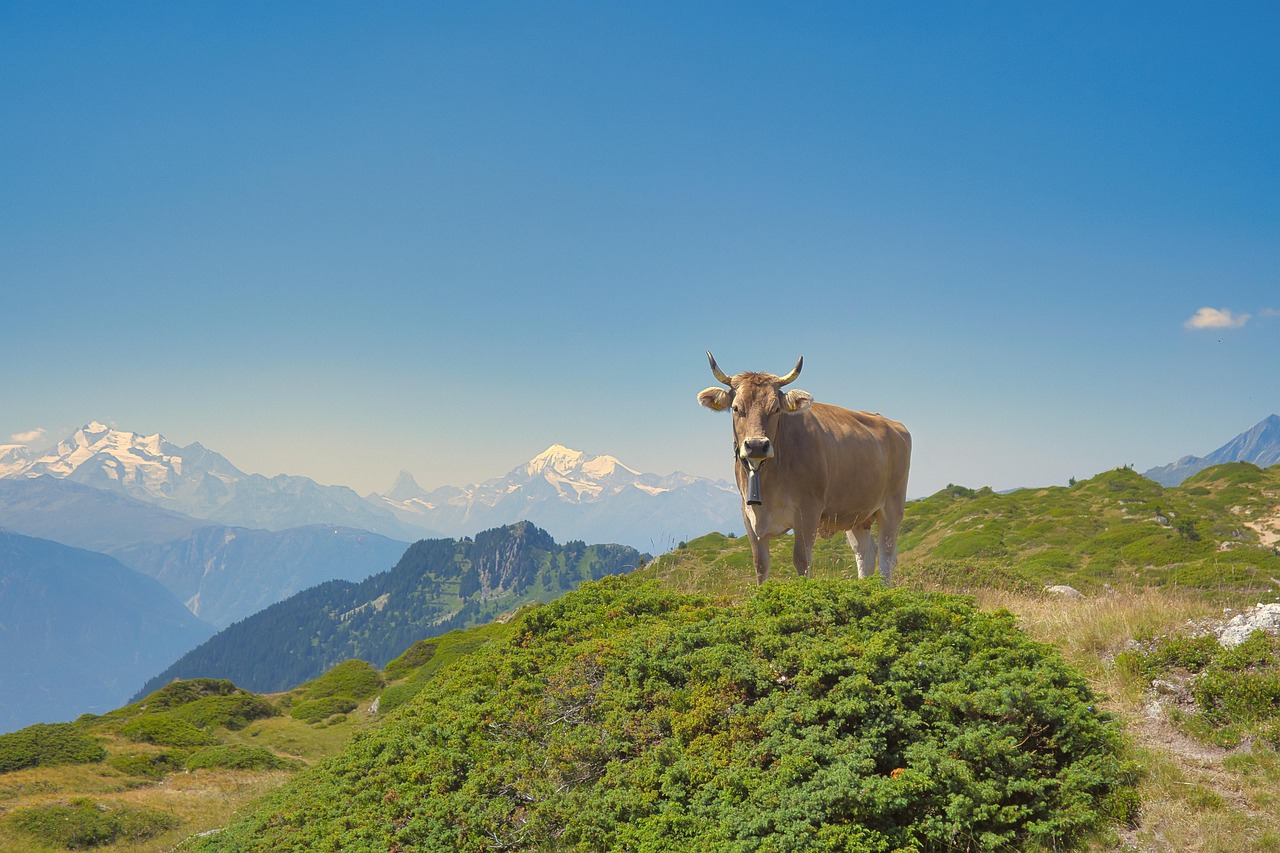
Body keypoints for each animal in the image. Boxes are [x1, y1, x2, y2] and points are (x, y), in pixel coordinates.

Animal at [697, 352, 912, 584]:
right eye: (736, 408)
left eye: (775, 408)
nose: (756, 445)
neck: (768, 478)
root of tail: (893, 424)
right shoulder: (748, 514)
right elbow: (760, 565)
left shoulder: (808, 511)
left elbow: (802, 560)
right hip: (857, 514)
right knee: (865, 552)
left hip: (892, 506)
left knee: (887, 555)